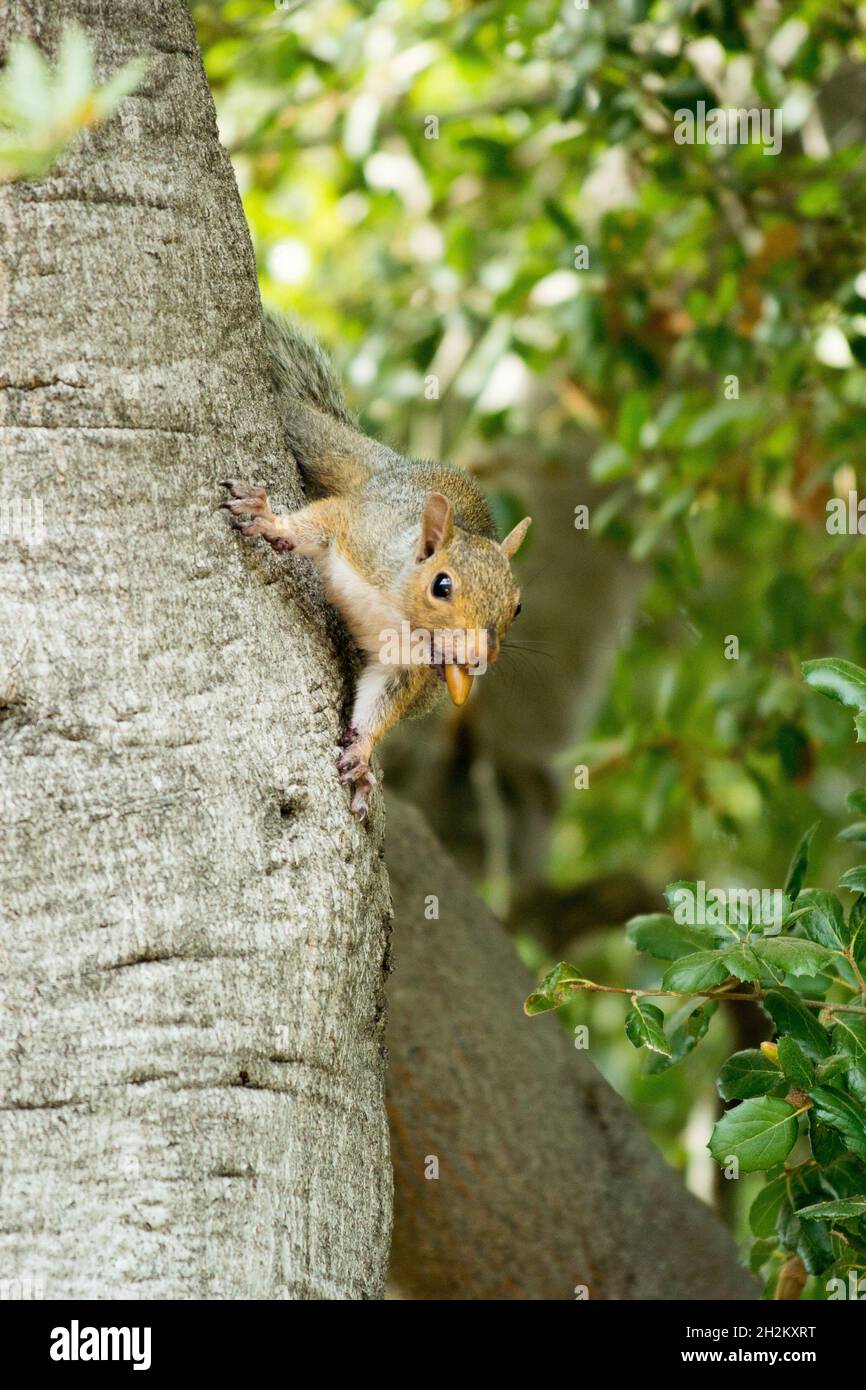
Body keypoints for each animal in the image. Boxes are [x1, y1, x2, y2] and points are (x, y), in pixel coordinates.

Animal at [221, 315, 531, 820]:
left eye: (517, 608)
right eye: (441, 585)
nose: (478, 656)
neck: (397, 613)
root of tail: (396, 465)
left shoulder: (407, 667)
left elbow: (382, 701)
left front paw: (361, 754)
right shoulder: (361, 532)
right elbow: (320, 522)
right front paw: (271, 519)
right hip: (331, 451)